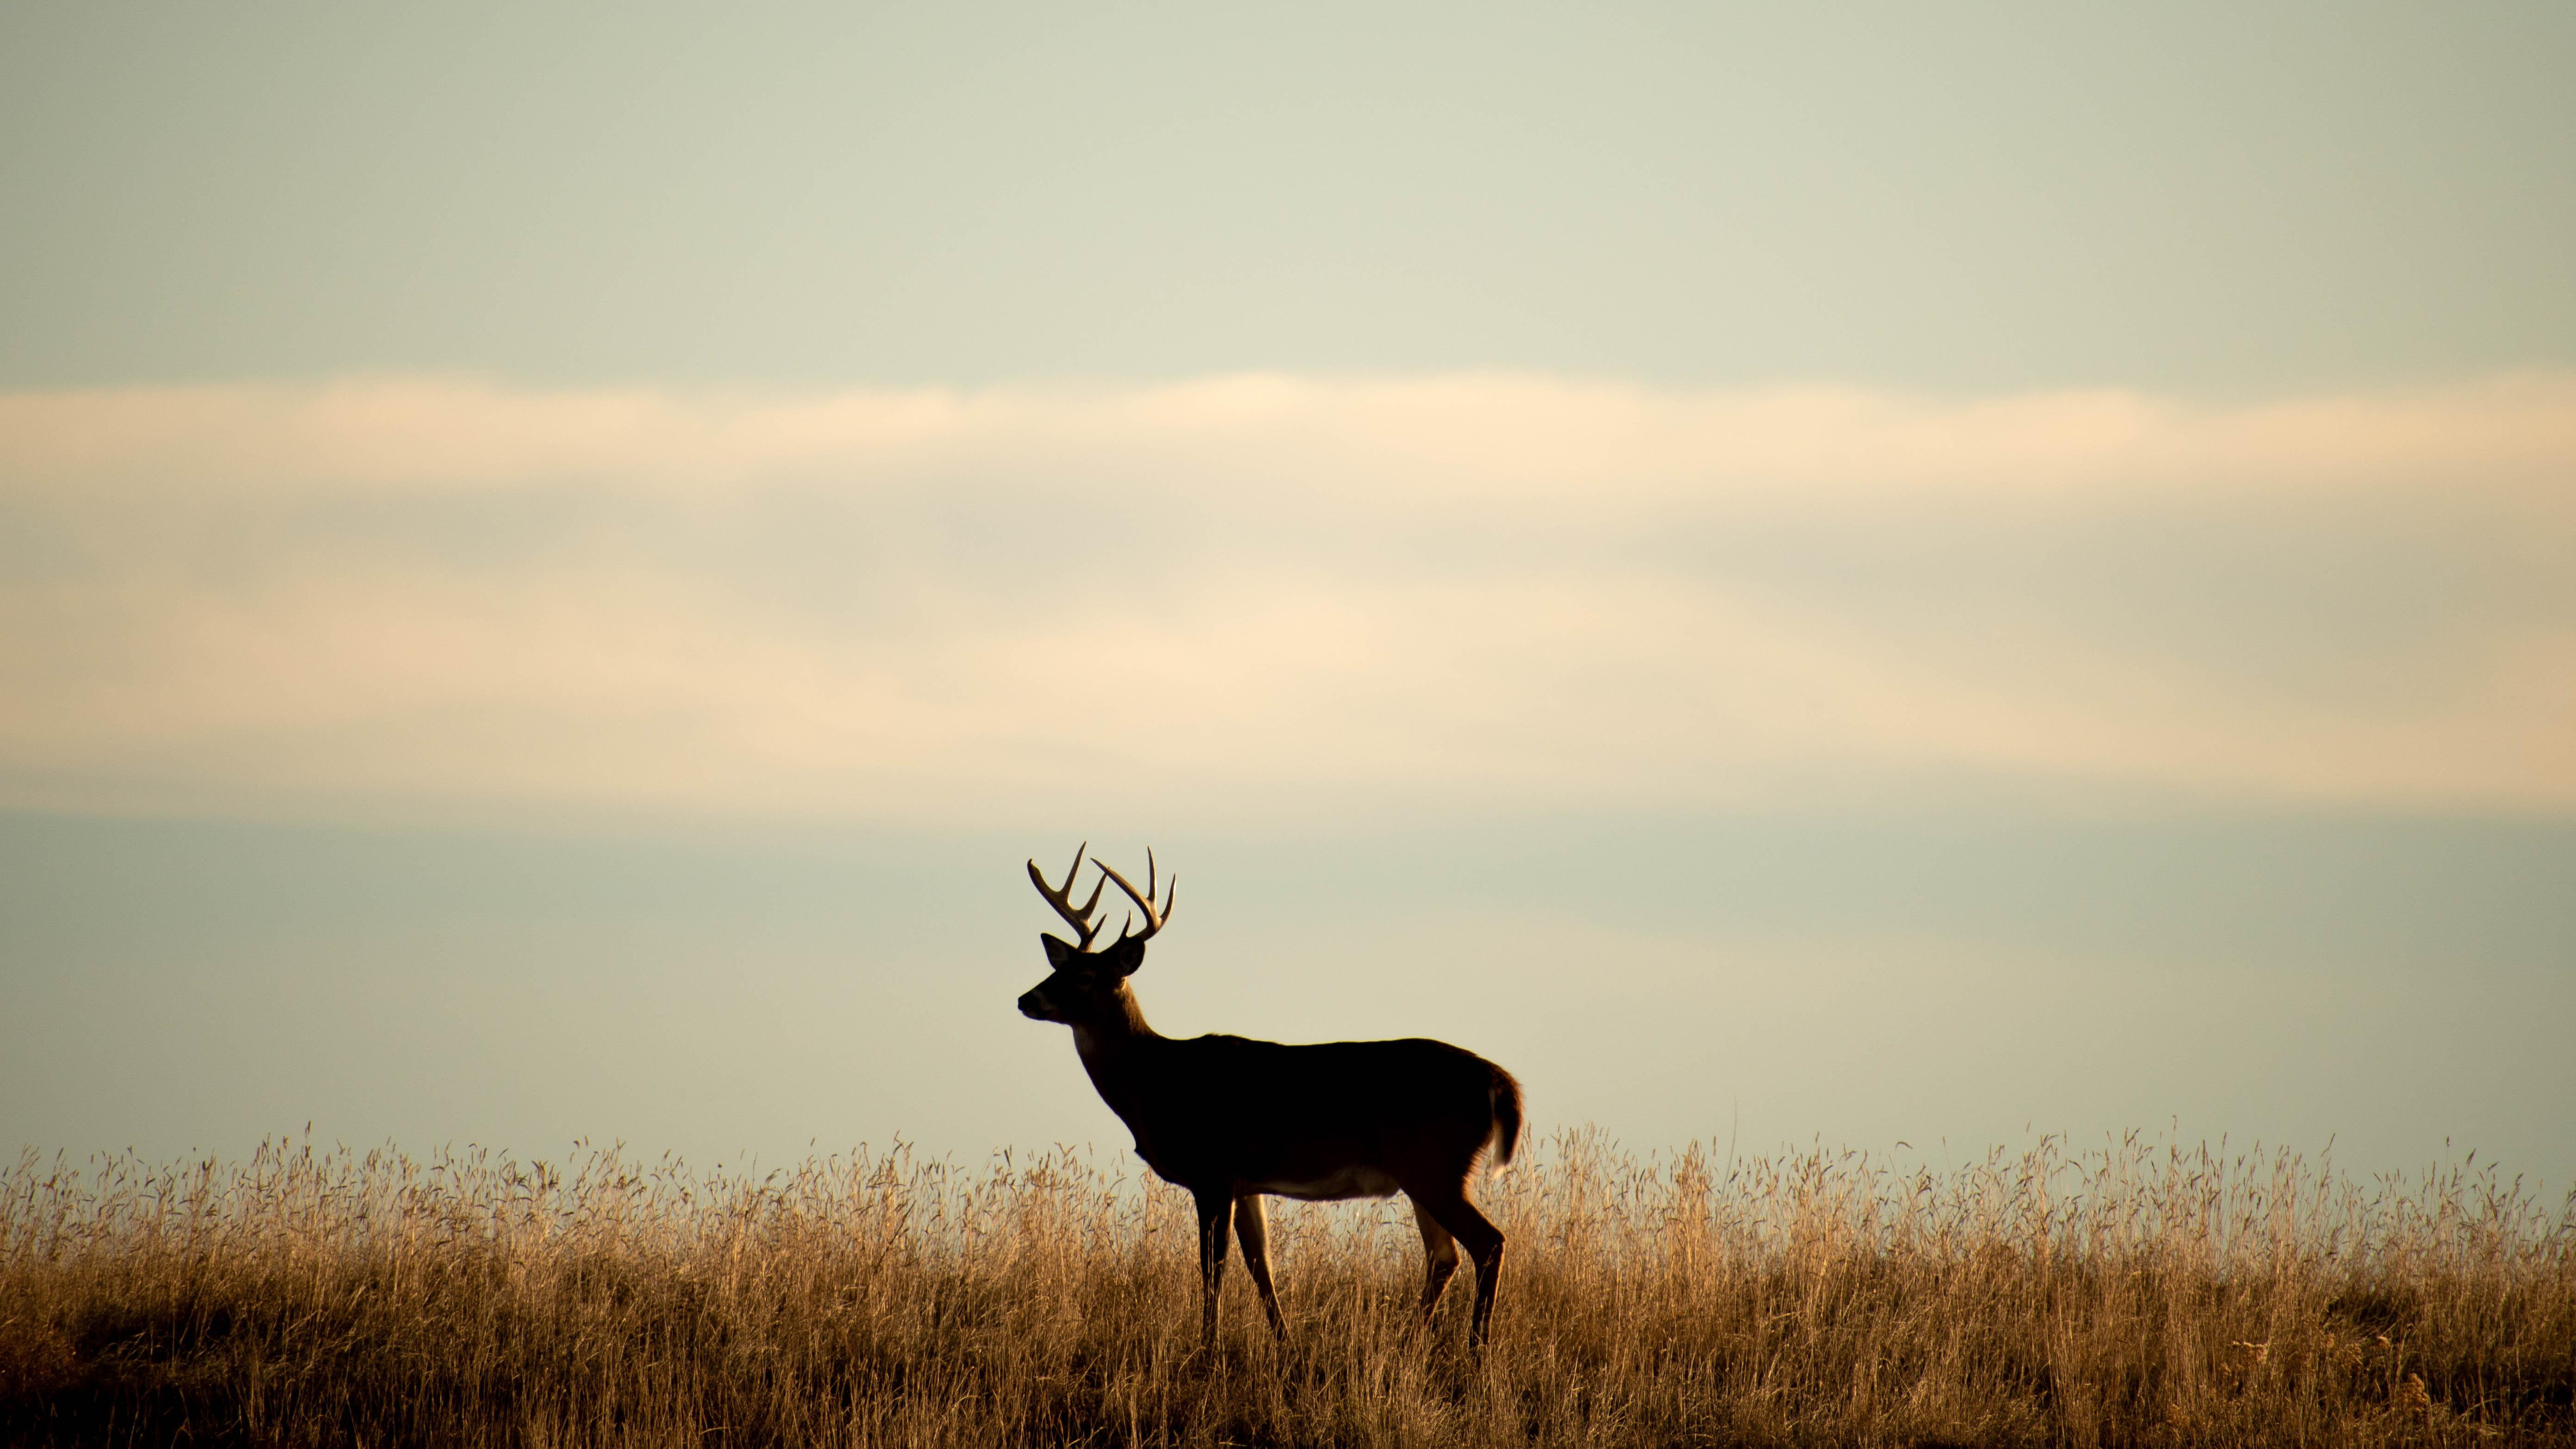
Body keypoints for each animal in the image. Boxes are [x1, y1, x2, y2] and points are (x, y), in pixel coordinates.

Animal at [1016, 844, 1523, 1352]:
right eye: (1057, 968)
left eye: (1085, 977)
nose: (1027, 1000)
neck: (1160, 1081)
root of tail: (1499, 1081)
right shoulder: (1247, 1182)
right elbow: (1261, 1264)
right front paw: (1286, 1344)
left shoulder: (1212, 1171)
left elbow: (1214, 1268)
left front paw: (1208, 1349)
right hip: (1425, 1172)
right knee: (1445, 1255)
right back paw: (1409, 1341)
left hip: (1434, 1164)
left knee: (1488, 1242)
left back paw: (1477, 1348)